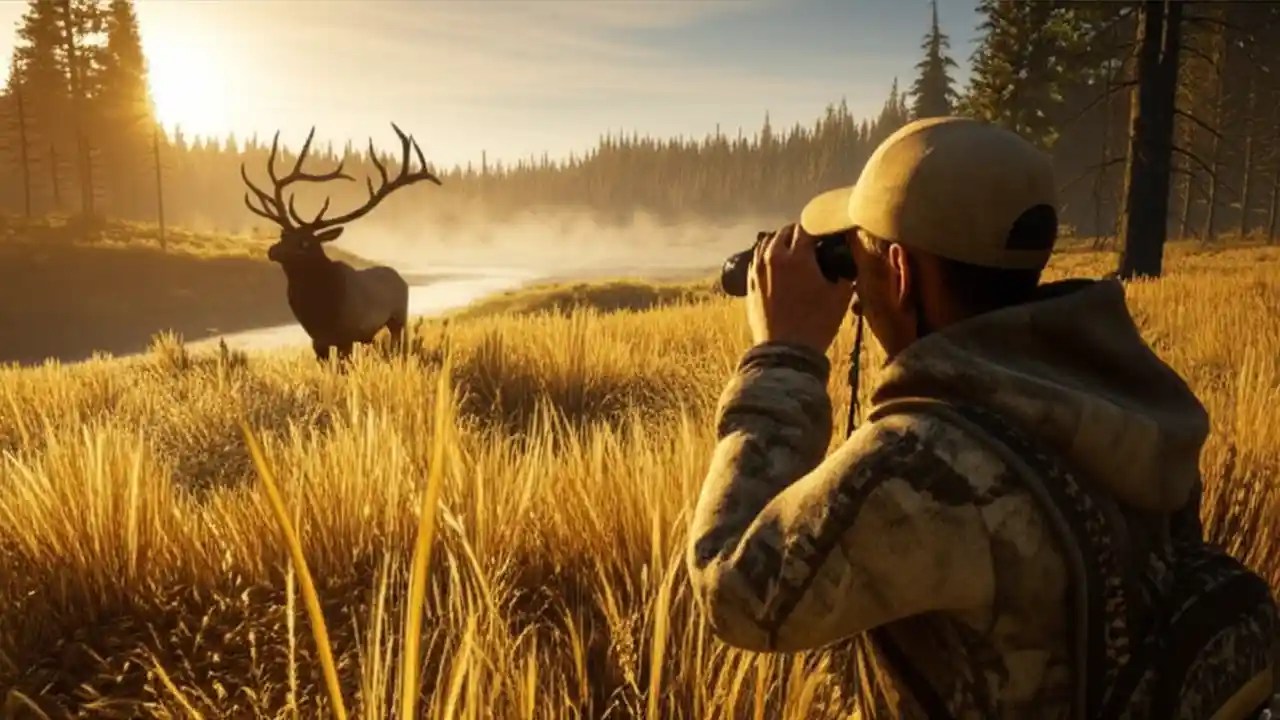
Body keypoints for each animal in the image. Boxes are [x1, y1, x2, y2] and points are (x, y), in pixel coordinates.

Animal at [240, 124, 442, 363]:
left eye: (305, 243)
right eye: (283, 236)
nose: (272, 250)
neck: (318, 311)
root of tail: (401, 278)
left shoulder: (346, 337)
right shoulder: (317, 341)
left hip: (398, 318)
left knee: (398, 346)